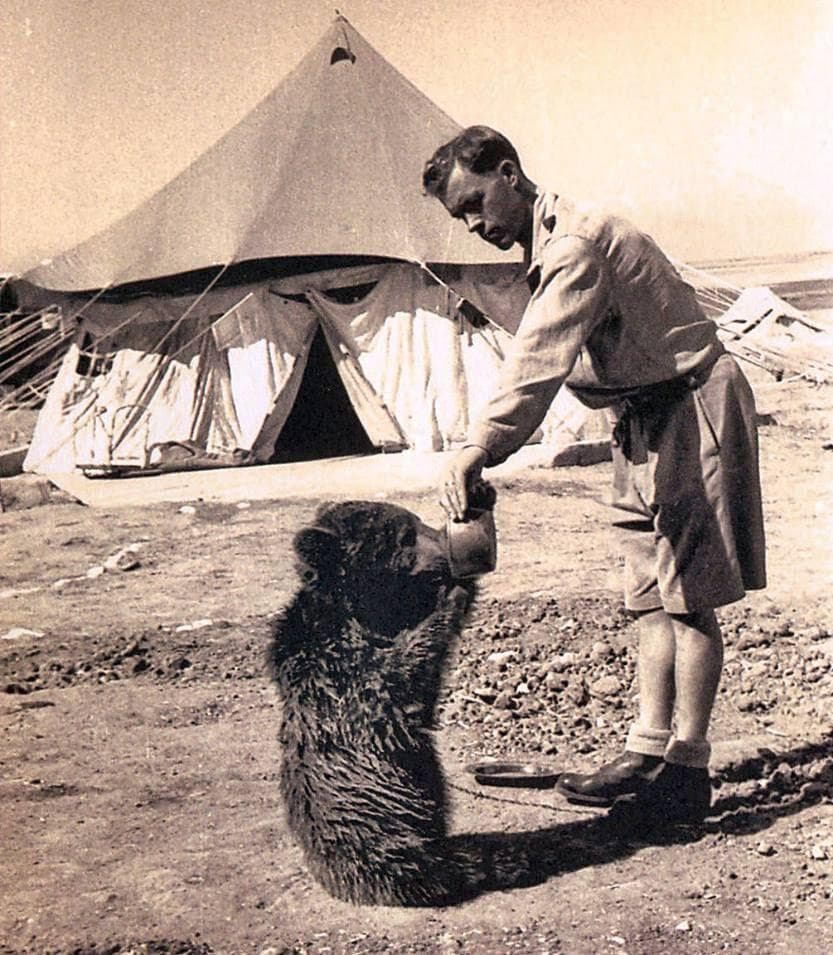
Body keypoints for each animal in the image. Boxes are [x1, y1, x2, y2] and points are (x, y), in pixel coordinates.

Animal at [269, 489, 495, 906]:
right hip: (389, 847)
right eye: (404, 535)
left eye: (416, 521)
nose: (446, 551)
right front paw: (455, 594)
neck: (370, 613)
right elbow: (401, 683)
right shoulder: (340, 672)